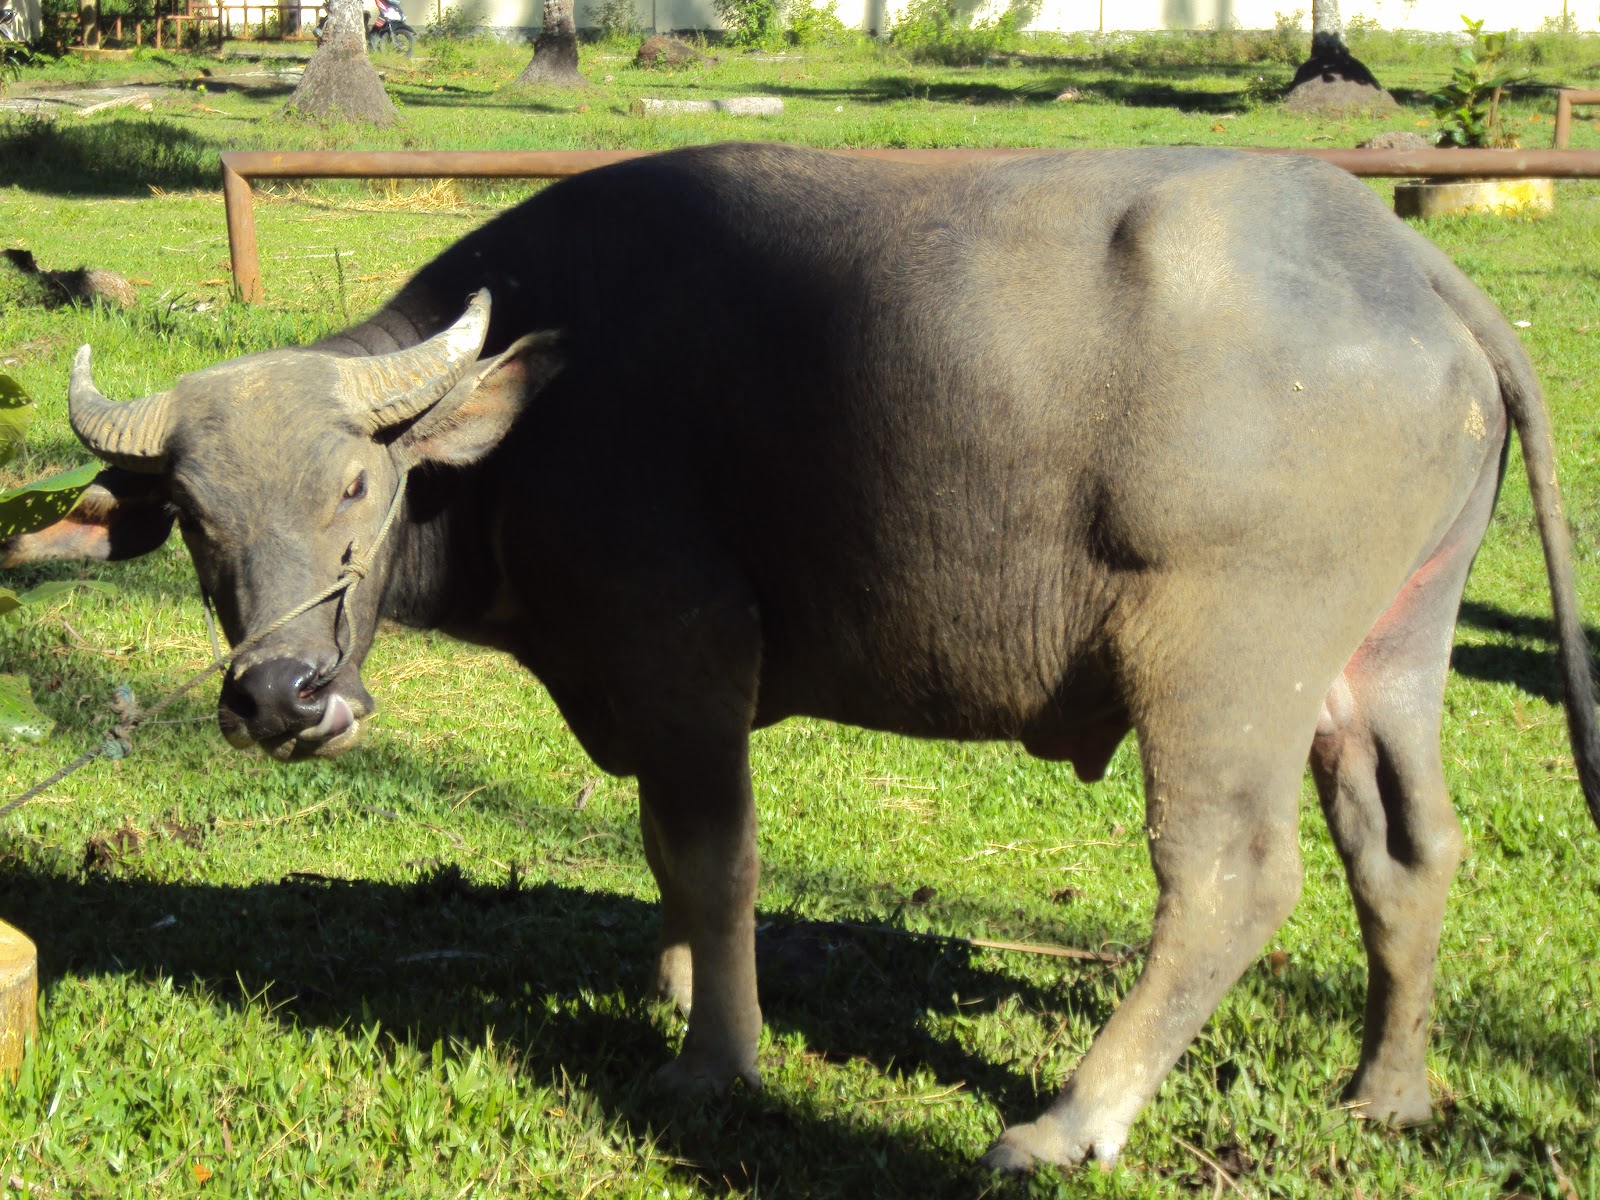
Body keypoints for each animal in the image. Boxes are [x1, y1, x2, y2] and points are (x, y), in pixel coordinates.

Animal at [7, 143, 1597, 1172]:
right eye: (196, 518)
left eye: (355, 484)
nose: (283, 696)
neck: (527, 431)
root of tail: (1409, 267)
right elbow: (662, 853)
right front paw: (674, 984)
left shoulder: (684, 659)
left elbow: (715, 858)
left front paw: (715, 1054)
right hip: (1391, 647)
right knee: (1407, 847)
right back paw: (1386, 1088)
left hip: (1220, 660)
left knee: (1232, 878)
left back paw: (1068, 1123)